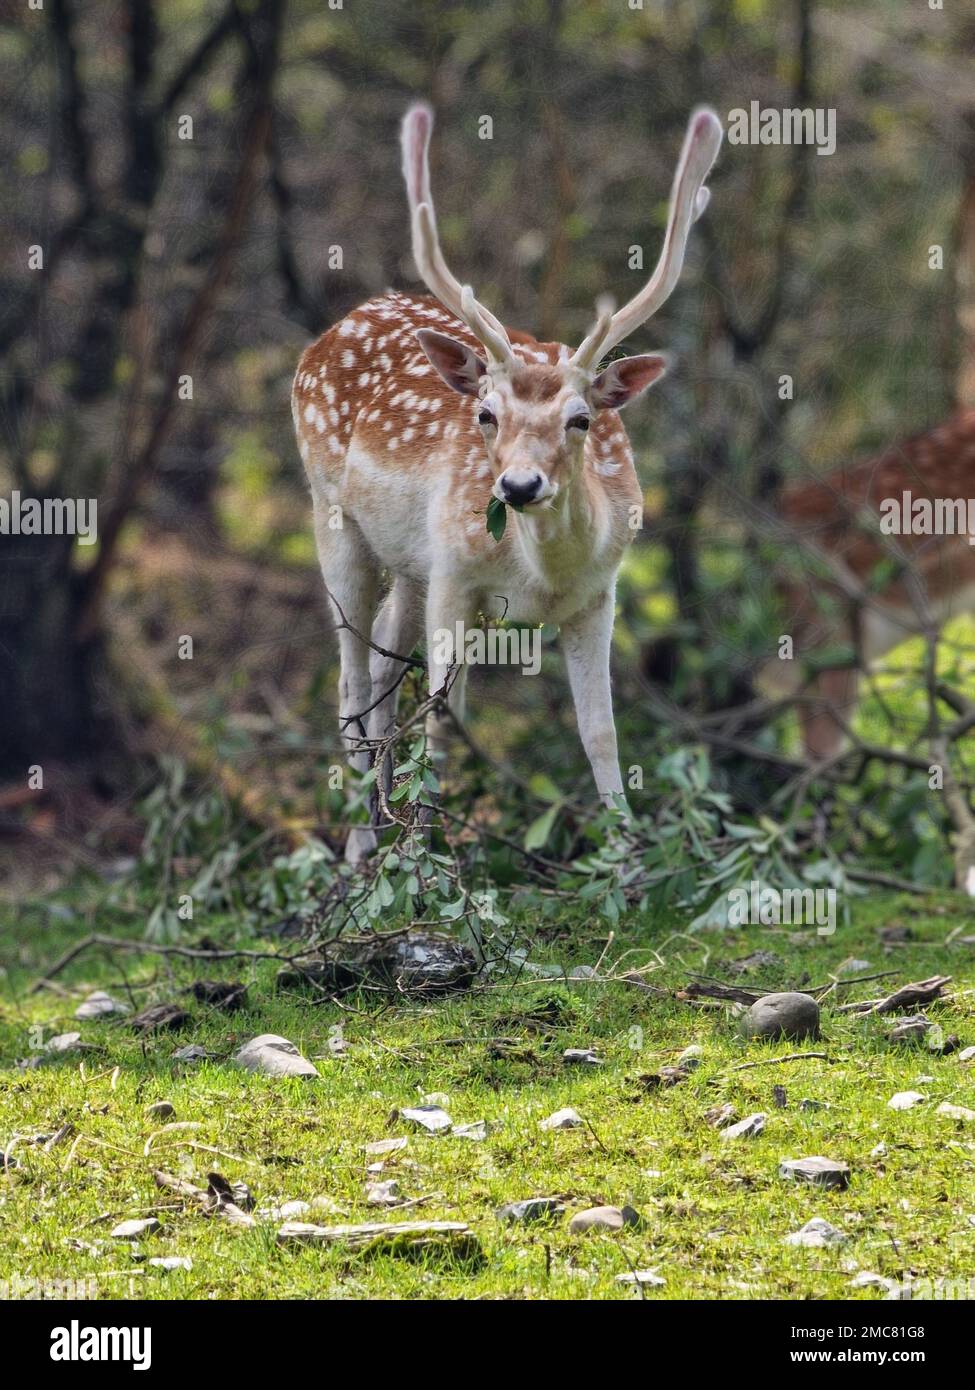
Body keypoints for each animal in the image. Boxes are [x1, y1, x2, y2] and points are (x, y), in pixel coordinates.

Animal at [292, 103, 723, 861]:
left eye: (582, 419)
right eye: (487, 414)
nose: (518, 487)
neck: (540, 580)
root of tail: (328, 334)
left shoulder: (599, 594)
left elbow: (600, 731)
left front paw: (625, 856)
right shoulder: (456, 576)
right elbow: (439, 719)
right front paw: (424, 862)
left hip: (410, 561)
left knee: (384, 660)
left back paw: (378, 818)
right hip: (333, 515)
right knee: (350, 676)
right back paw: (362, 846)